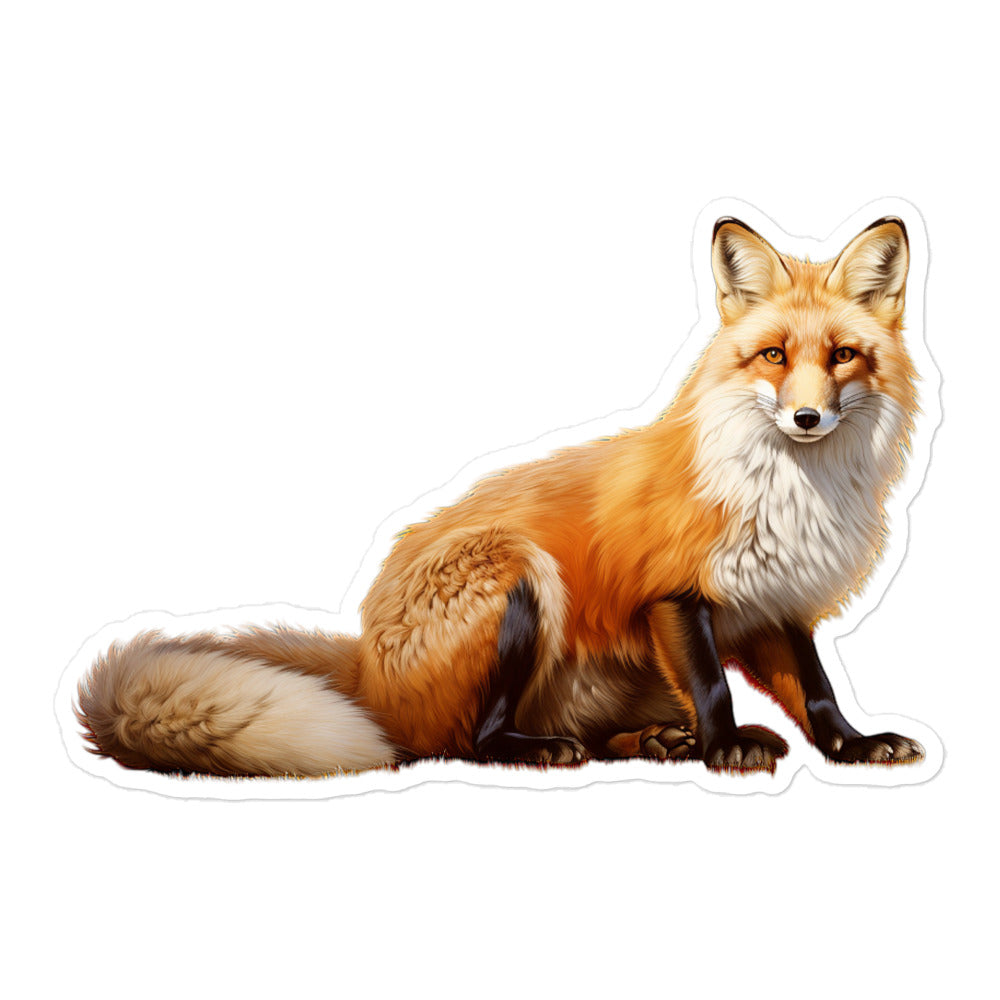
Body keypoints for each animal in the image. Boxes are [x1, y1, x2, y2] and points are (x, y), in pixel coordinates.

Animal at [75, 214, 926, 777]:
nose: (807, 417)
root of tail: (364, 664)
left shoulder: (780, 604)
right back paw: (552, 750)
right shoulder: (673, 594)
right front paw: (725, 747)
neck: (789, 497)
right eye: (775, 356)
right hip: (517, 575)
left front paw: (854, 746)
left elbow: (817, 692)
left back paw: (649, 743)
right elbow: (715, 686)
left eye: (843, 356)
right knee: (462, 744)